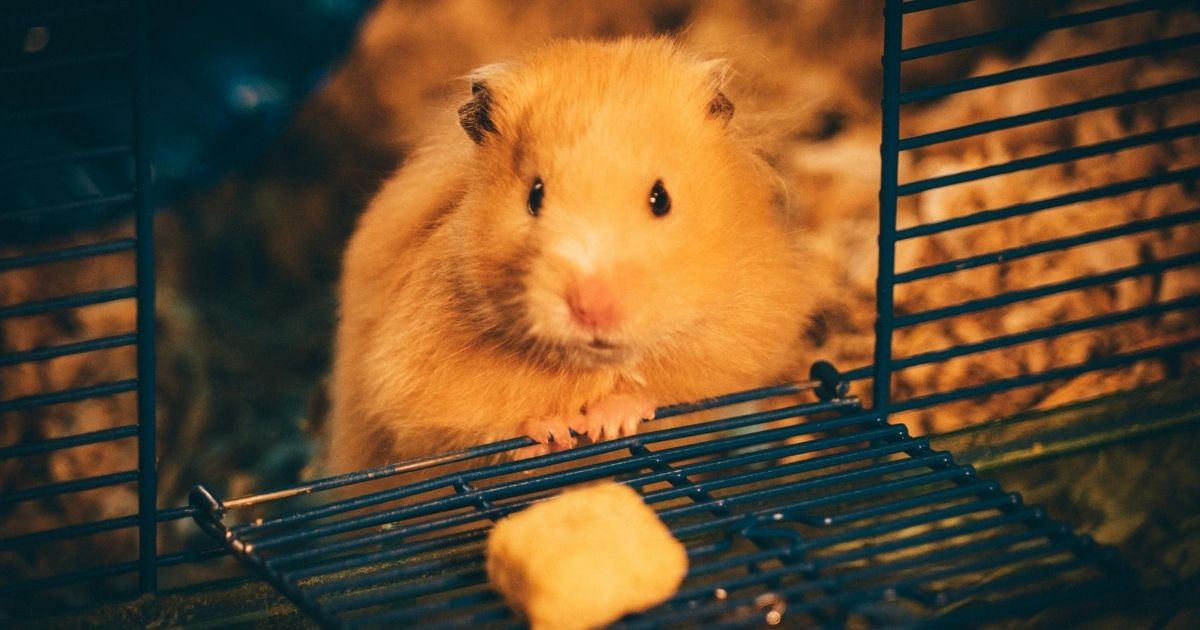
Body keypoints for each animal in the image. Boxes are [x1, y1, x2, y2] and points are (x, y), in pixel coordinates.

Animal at [328, 37, 819, 474]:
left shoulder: (744, 336)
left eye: (661, 198)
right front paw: (556, 430)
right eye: (534, 195)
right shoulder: (410, 380)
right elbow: (477, 420)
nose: (593, 308)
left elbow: (672, 386)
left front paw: (609, 422)